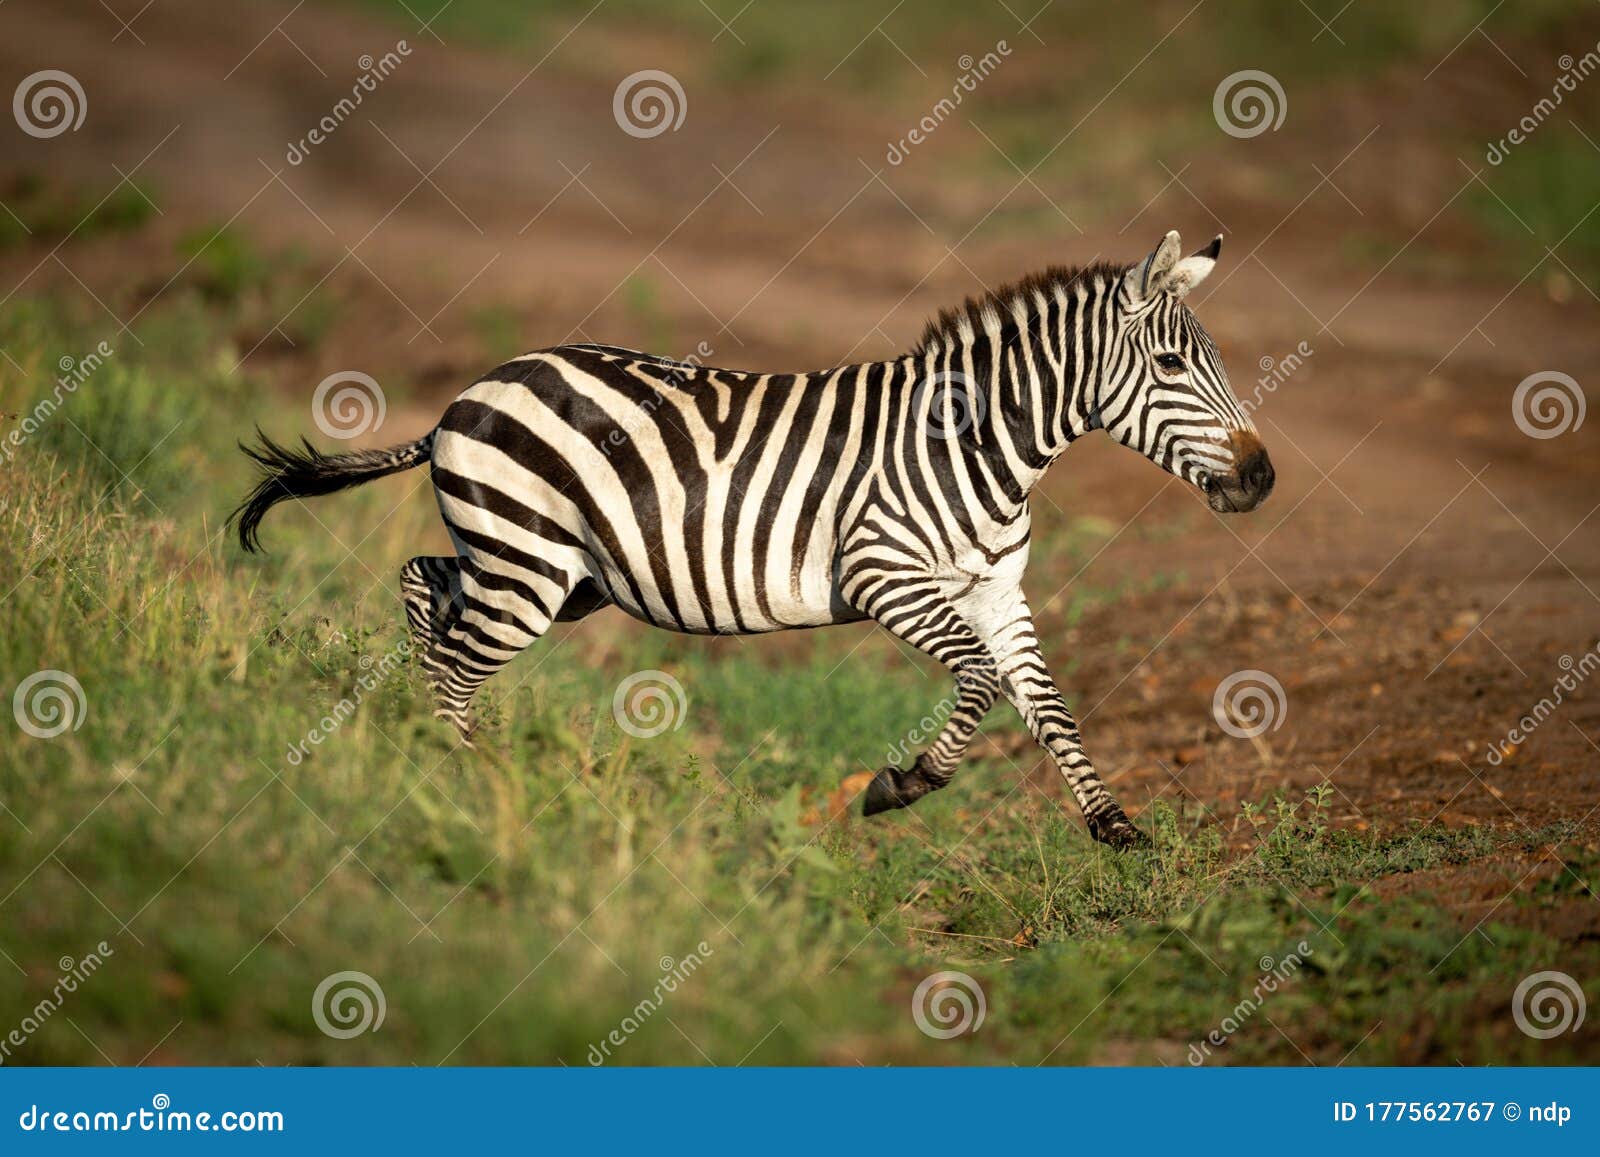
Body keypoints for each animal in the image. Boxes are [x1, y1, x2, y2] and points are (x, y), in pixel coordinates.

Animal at [232, 229, 1273, 850]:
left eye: (1214, 360)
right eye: (1172, 363)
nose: (1261, 478)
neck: (978, 444)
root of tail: (470, 390)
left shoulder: (996, 589)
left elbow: (1047, 705)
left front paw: (1114, 827)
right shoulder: (883, 572)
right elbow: (980, 681)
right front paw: (900, 785)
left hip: (552, 569)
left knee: (424, 586)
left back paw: (421, 744)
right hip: (528, 565)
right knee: (456, 657)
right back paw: (456, 779)